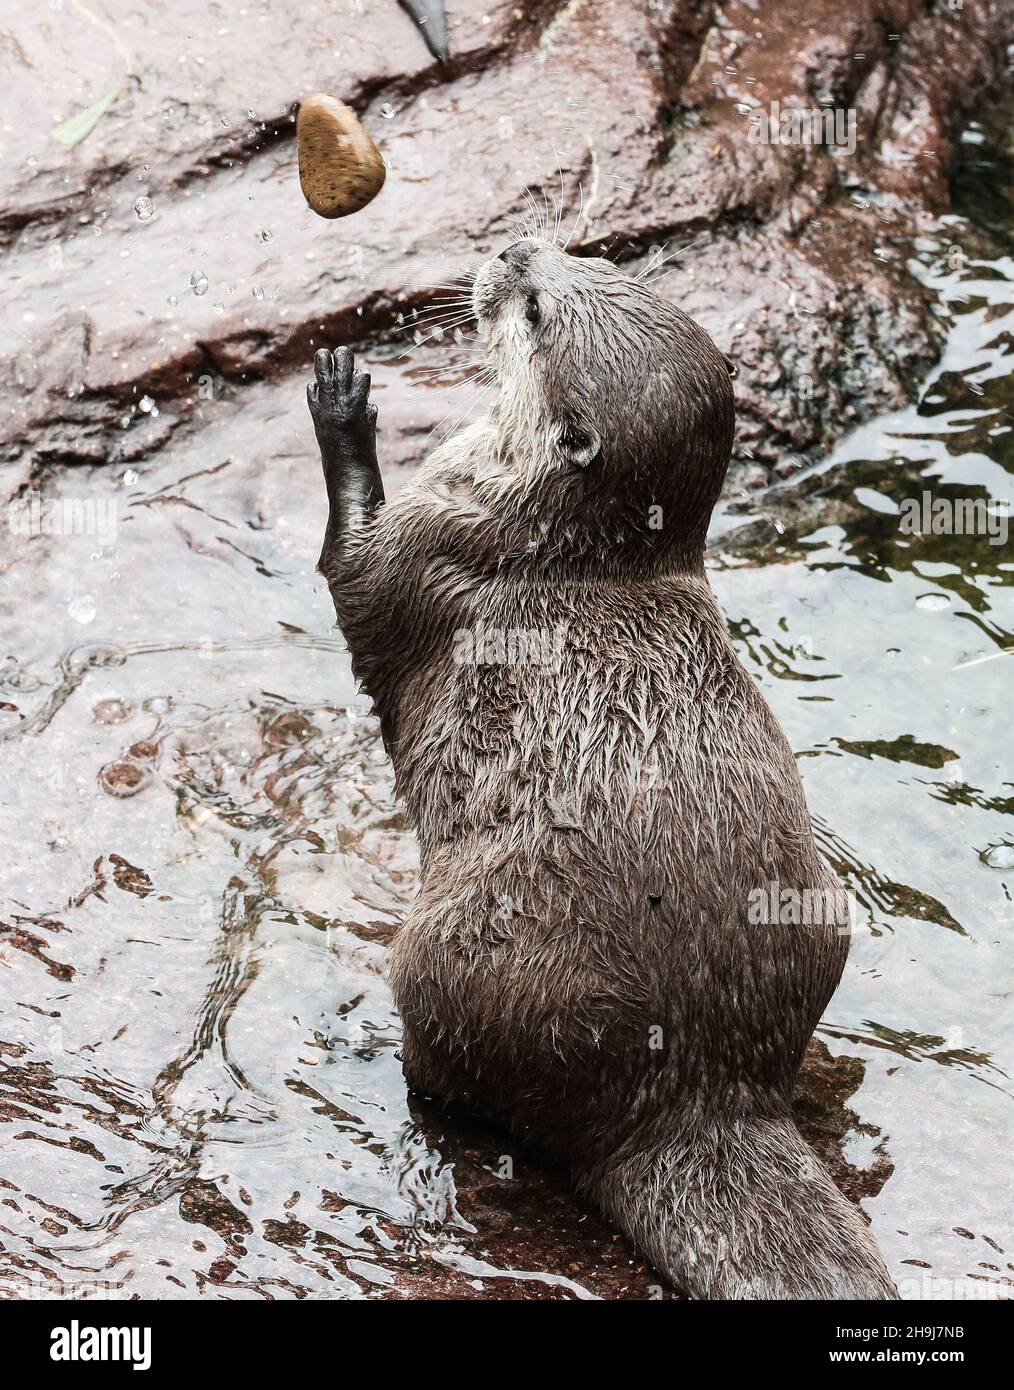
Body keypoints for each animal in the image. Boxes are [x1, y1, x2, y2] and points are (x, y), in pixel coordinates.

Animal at [305, 236, 897, 1299]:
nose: (513, 248)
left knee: (448, 1080)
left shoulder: (424, 547)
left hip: (457, 962)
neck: (543, 538)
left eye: (536, 309)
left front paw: (344, 405)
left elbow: (351, 571)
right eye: (588, 255)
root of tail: (698, 1090)